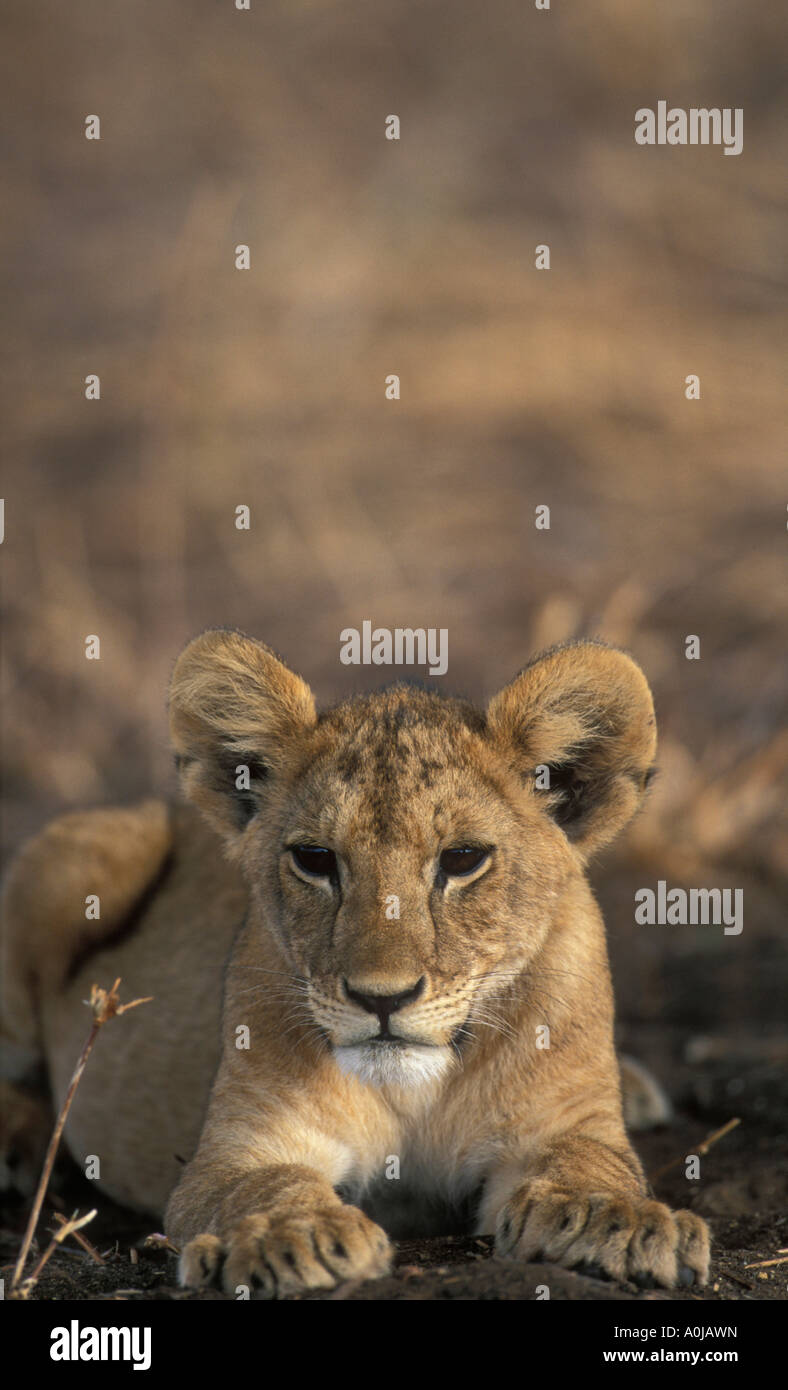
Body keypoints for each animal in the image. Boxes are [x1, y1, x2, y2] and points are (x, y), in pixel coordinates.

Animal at [0, 631, 709, 1295]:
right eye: (314, 859)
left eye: (463, 859)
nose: (382, 998)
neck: (417, 1090)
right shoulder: (236, 1149)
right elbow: (263, 1185)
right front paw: (294, 1234)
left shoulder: (564, 1124)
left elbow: (586, 1165)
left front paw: (618, 1219)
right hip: (76, 851)